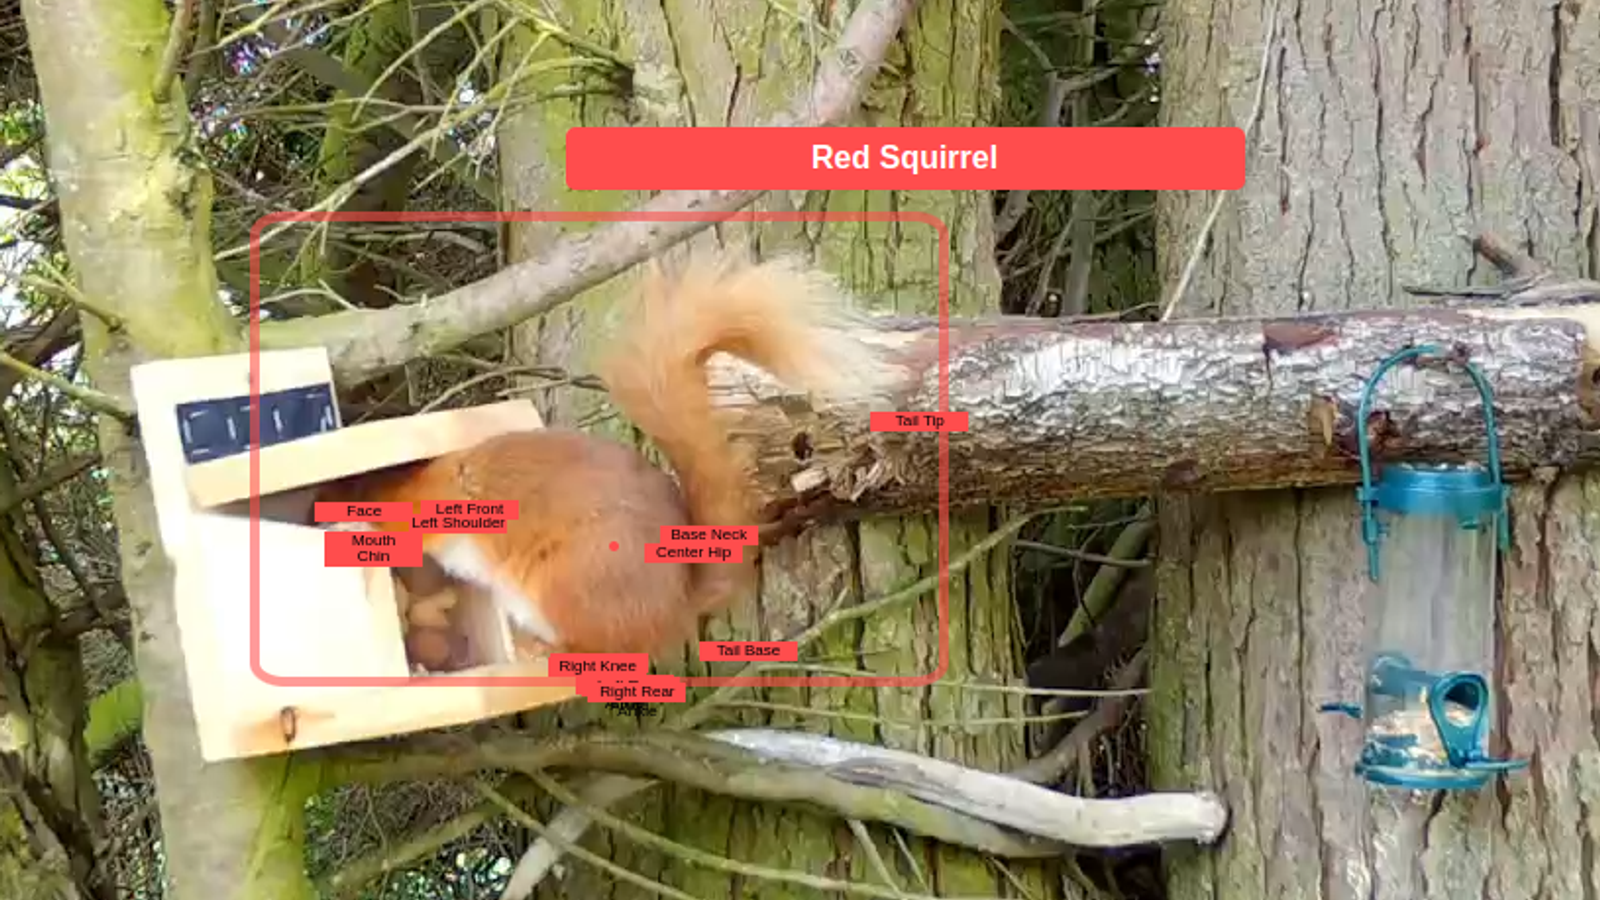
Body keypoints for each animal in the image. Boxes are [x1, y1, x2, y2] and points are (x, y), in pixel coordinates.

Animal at [316, 252, 901, 660]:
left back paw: (542, 651)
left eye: (345, 488)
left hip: (567, 585)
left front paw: (352, 531)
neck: (412, 477)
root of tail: (674, 608)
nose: (320, 512)